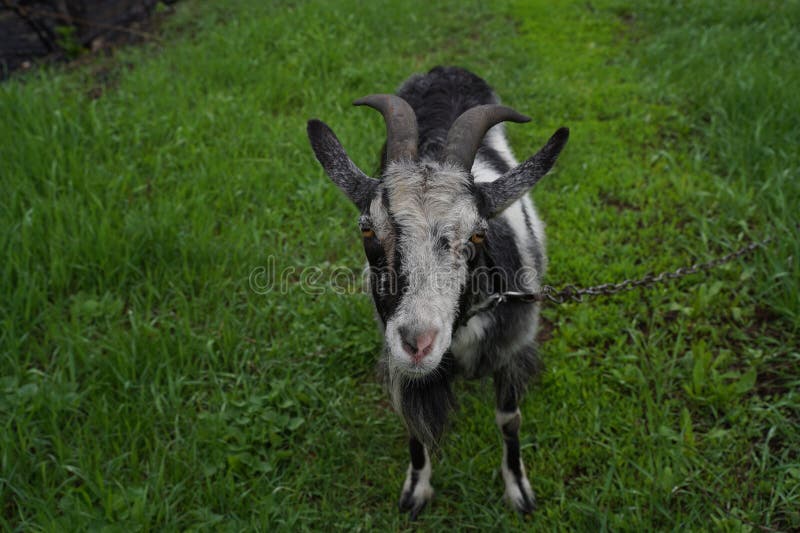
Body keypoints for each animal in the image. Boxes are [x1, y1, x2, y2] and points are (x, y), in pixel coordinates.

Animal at [307, 66, 569, 518]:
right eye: (367, 230)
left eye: (478, 234)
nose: (417, 344)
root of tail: (445, 70)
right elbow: (413, 425)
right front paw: (417, 488)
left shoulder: (511, 348)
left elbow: (509, 420)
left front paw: (518, 489)